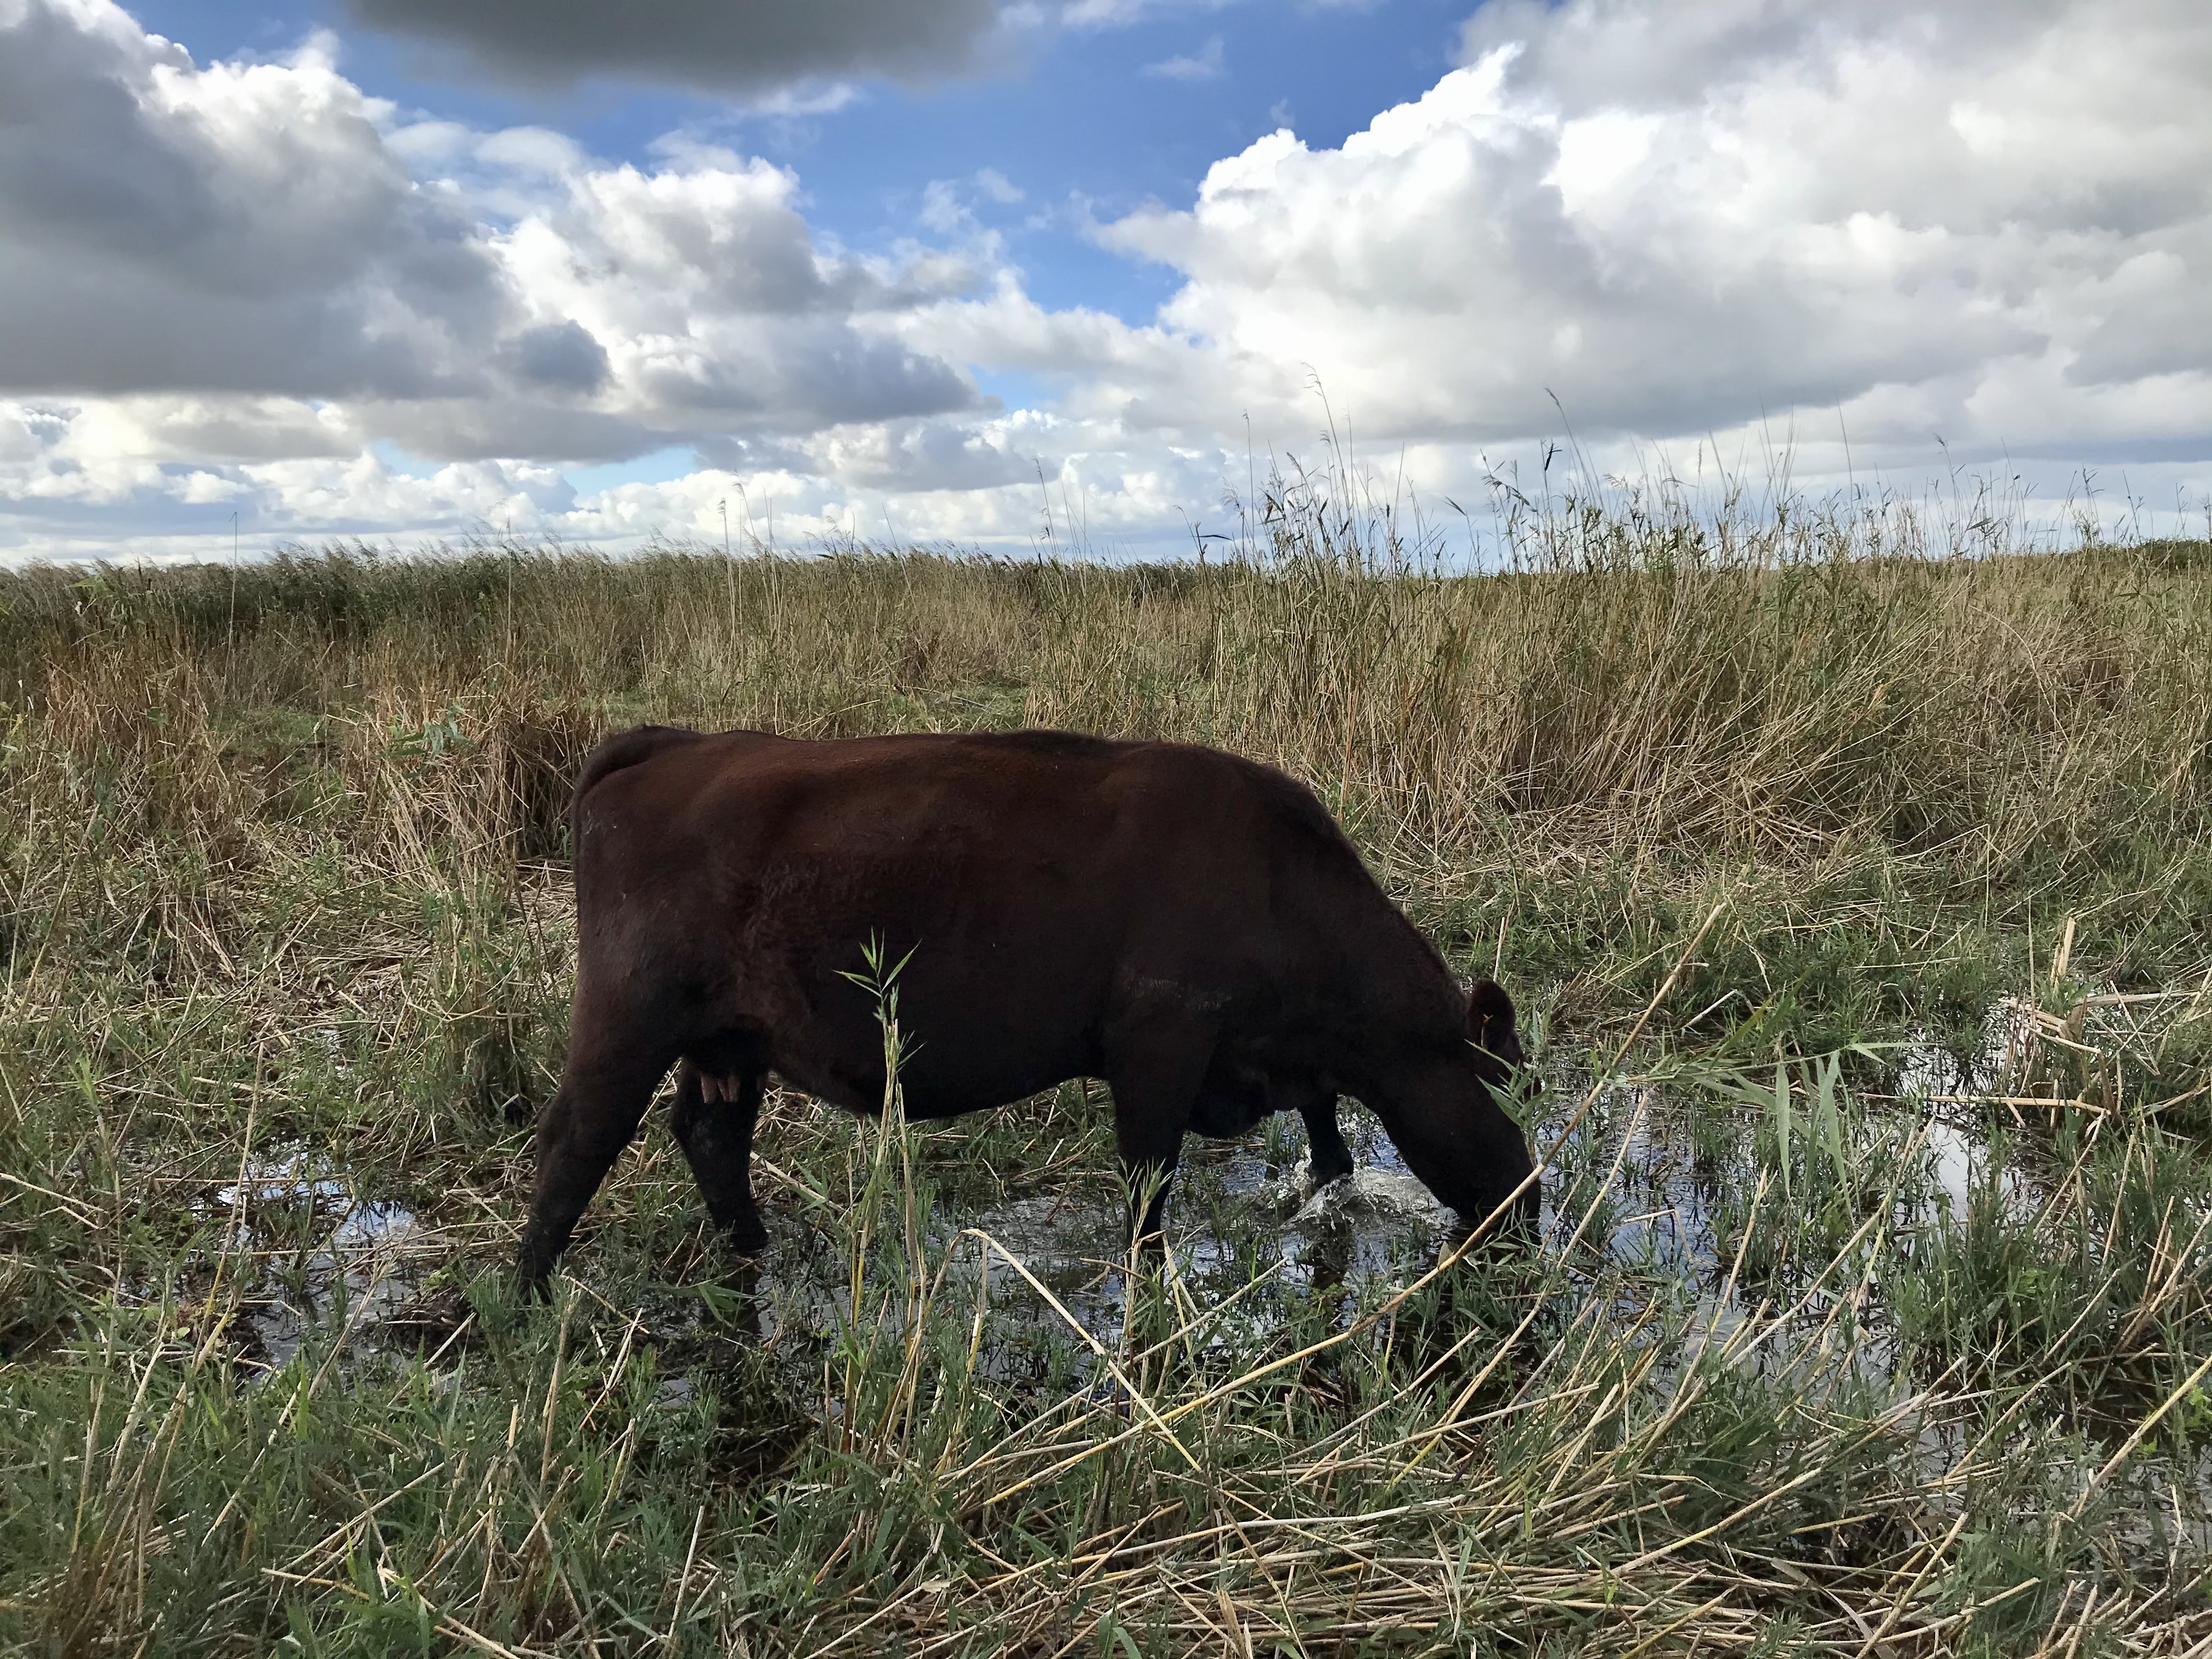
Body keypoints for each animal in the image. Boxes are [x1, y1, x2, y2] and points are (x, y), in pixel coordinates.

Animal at [516, 726, 1538, 1293]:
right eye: (1506, 1113)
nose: (1531, 1212)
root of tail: (676, 742)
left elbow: (1329, 1146)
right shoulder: (1160, 1042)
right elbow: (1148, 1187)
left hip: (731, 1037)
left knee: (710, 1134)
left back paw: (750, 1254)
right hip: (627, 1016)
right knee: (575, 1142)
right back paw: (525, 1298)